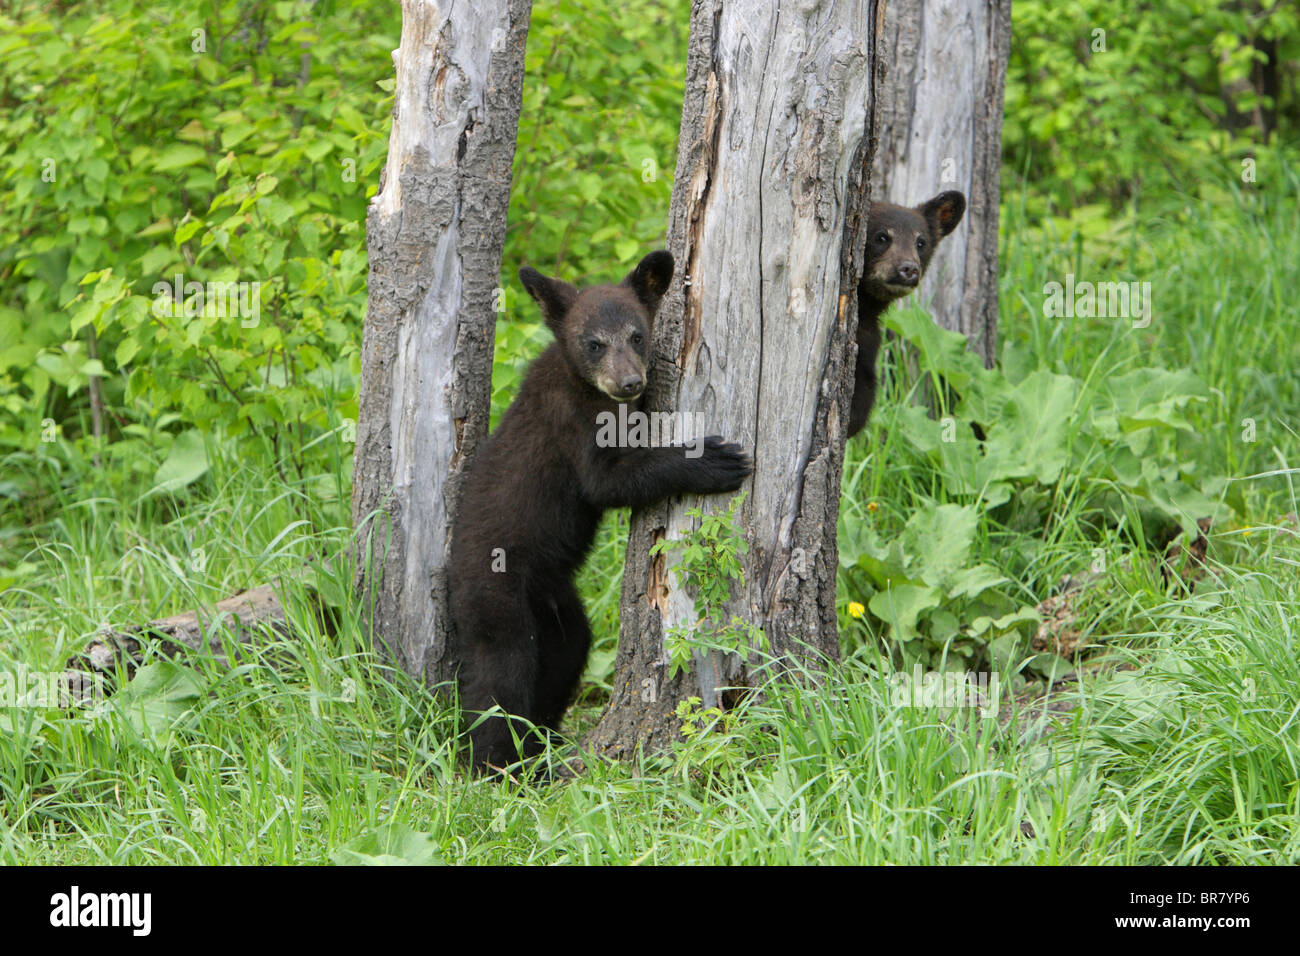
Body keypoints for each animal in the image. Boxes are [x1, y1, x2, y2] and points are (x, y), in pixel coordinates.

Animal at [446, 249, 753, 772]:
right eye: (593, 344)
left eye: (637, 336)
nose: (630, 381)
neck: (586, 386)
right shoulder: (573, 422)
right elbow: (608, 482)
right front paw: (711, 459)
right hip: (495, 595)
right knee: (500, 677)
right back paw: (497, 765)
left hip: (555, 604)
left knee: (567, 653)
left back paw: (541, 745)